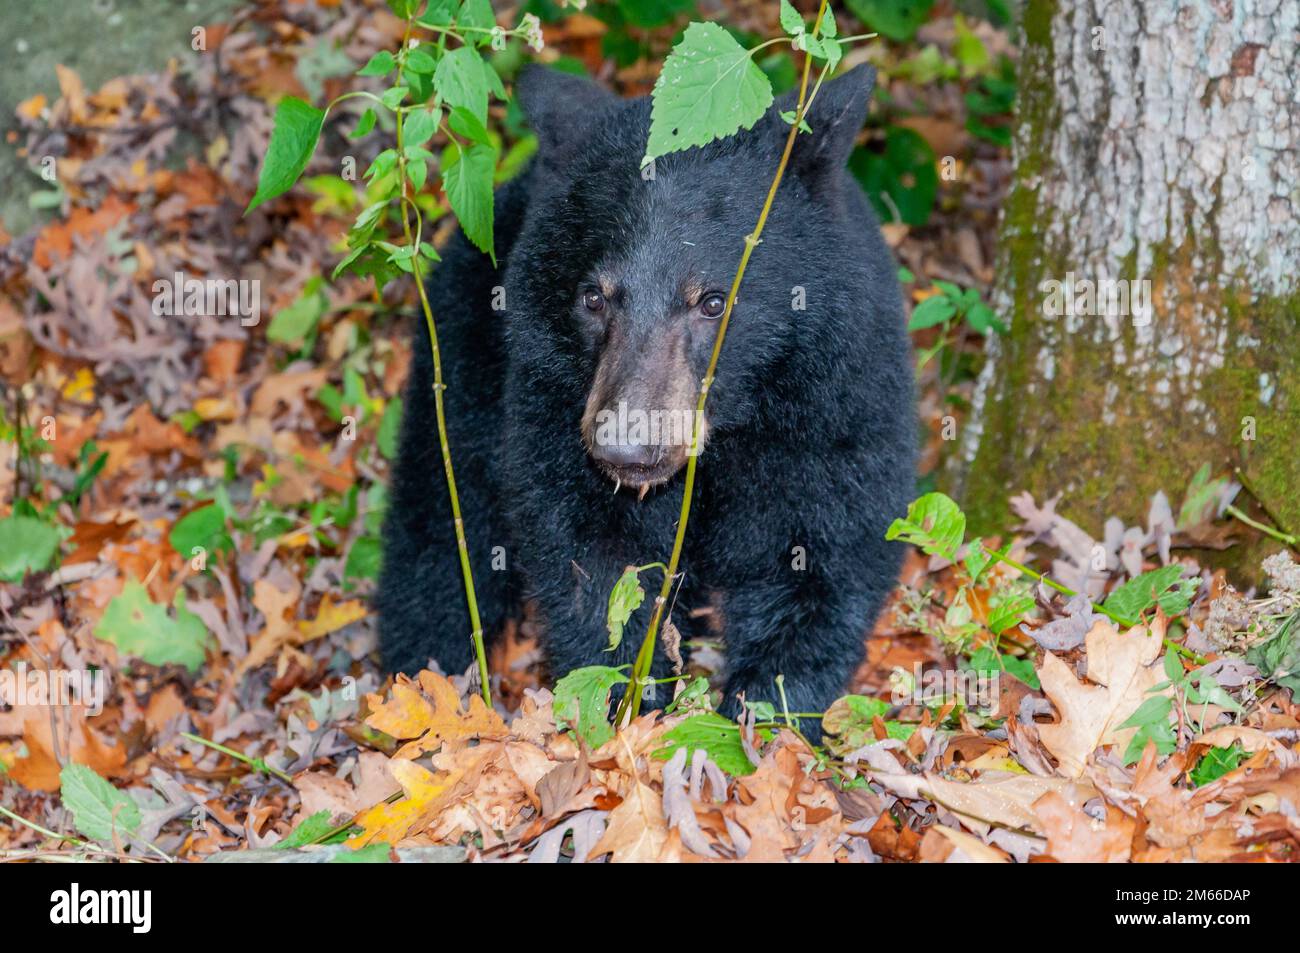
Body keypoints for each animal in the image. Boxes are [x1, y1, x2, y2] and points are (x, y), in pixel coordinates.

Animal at [377, 63, 916, 730]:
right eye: (593, 297)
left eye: (713, 301)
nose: (626, 447)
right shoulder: (549, 403)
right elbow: (598, 568)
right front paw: (628, 709)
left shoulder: (834, 406)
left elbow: (821, 554)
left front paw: (766, 714)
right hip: (463, 345)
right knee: (441, 518)